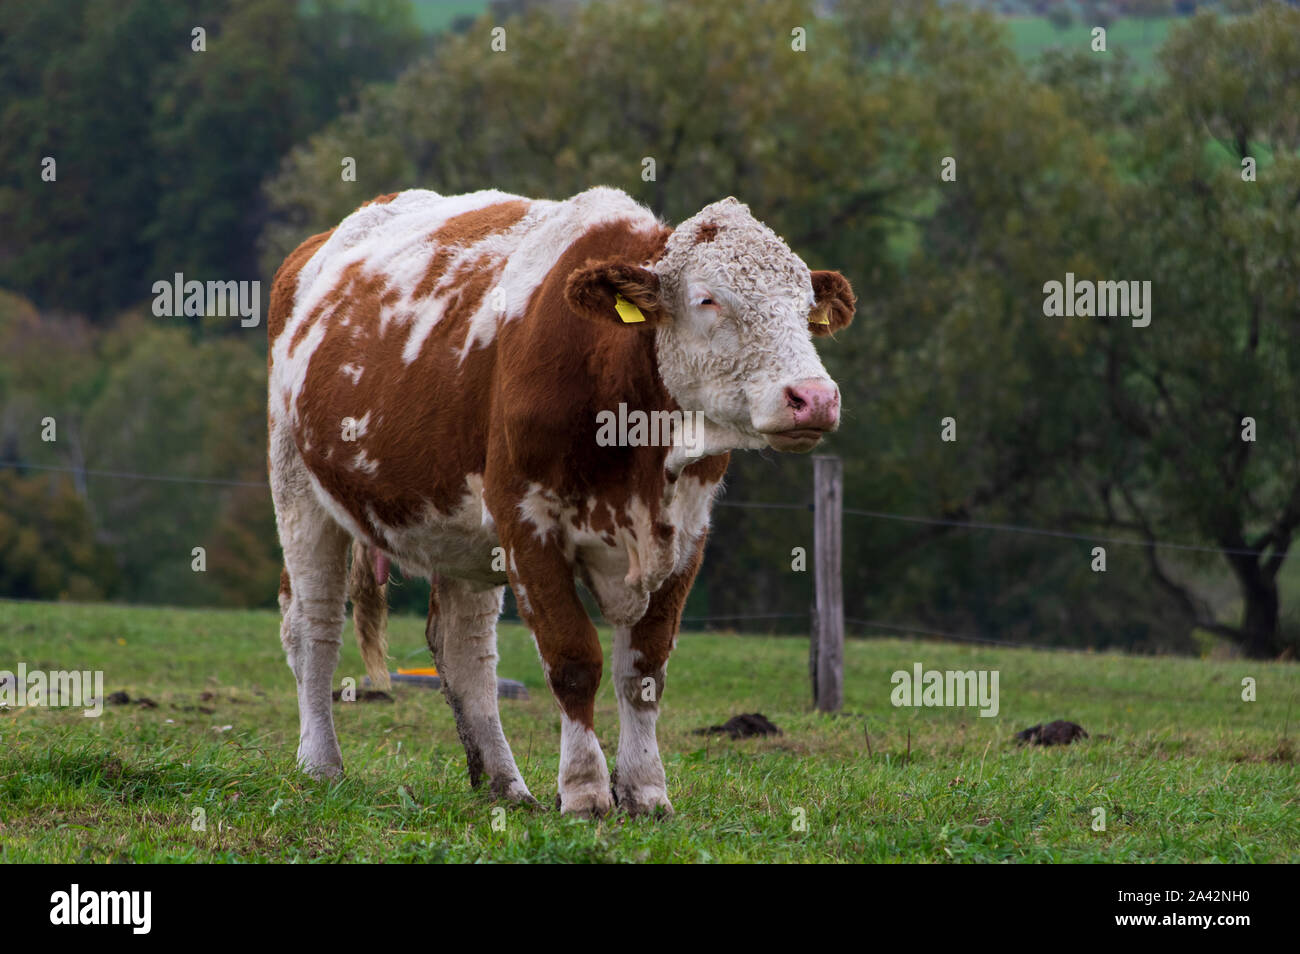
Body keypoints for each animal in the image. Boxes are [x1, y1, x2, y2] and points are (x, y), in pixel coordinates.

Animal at [267, 187, 854, 816]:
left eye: (805, 308)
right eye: (708, 300)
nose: (814, 397)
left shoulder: (688, 533)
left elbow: (644, 670)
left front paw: (646, 789)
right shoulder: (527, 523)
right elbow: (573, 659)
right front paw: (584, 789)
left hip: (462, 534)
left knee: (465, 652)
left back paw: (506, 784)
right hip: (297, 488)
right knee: (312, 627)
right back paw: (321, 765)